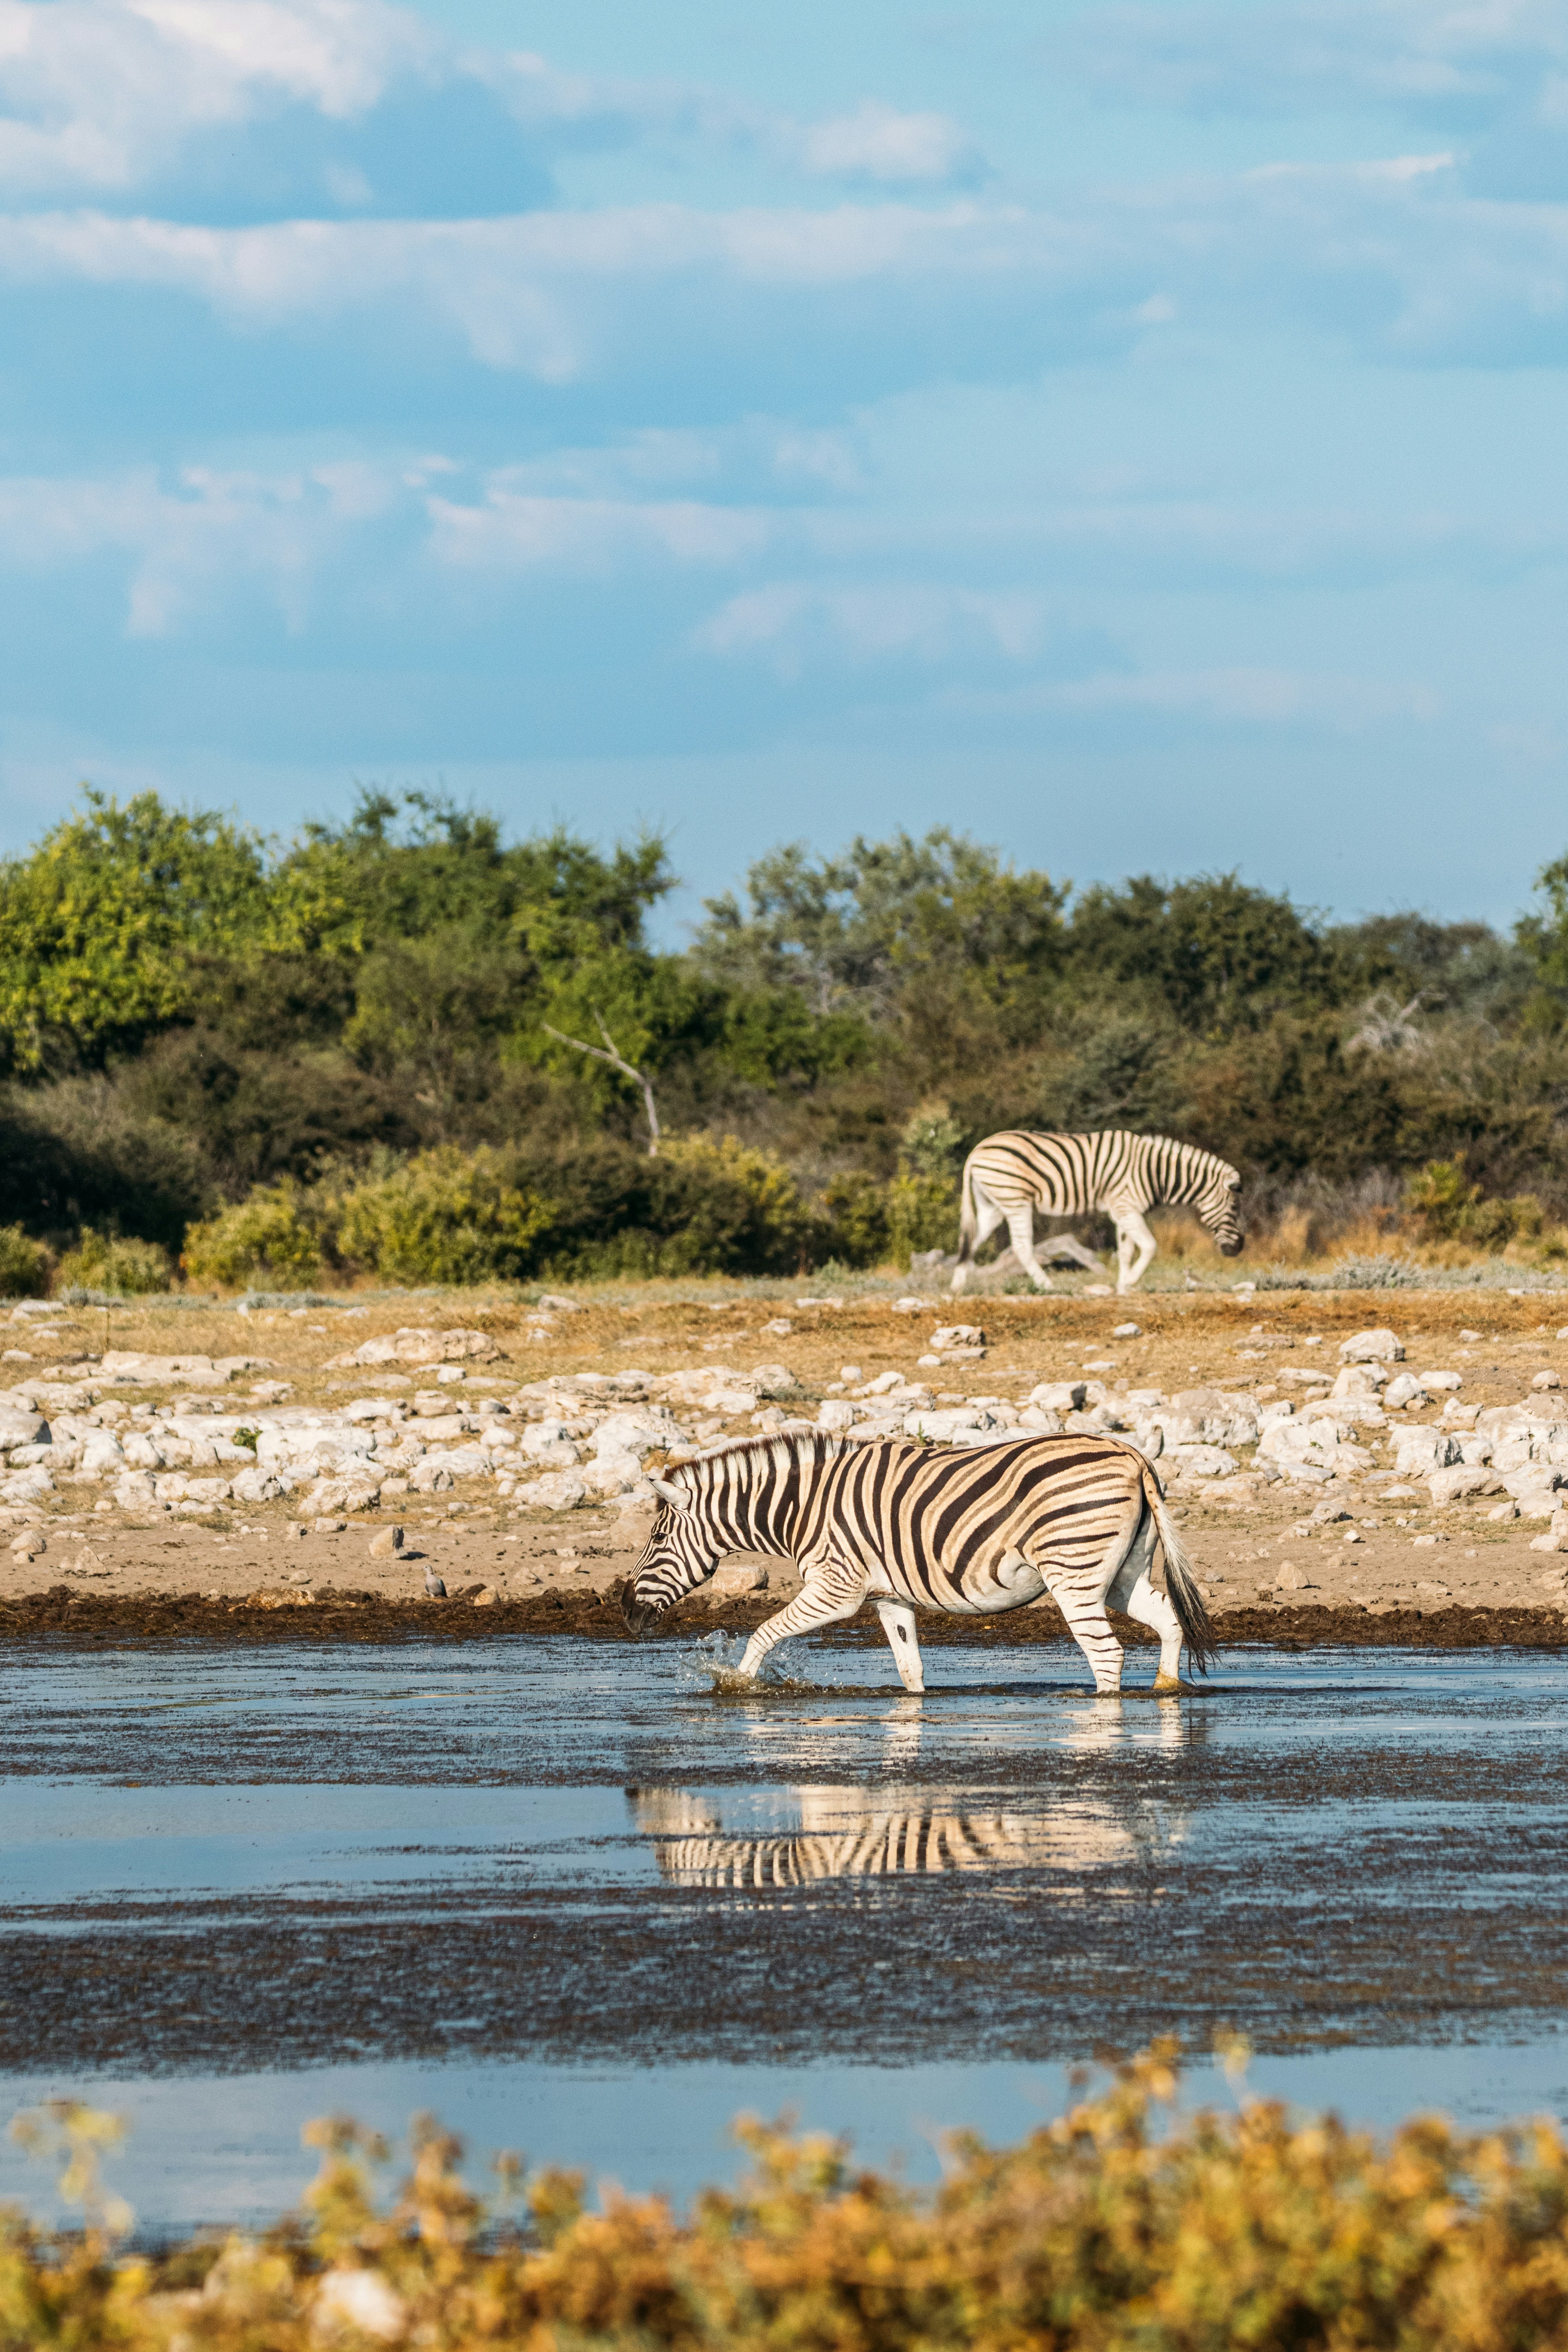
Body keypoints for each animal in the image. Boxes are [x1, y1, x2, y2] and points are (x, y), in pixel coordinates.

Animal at [623, 1427, 1214, 1695]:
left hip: (1074, 1574)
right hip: (1118, 1575)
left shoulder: (837, 1589)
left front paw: (739, 1689)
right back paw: (1167, 1693)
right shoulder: (889, 1597)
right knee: (1169, 1622)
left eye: (657, 1538)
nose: (626, 1613)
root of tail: (1133, 1454)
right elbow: (911, 1668)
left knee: (1107, 1655)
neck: (802, 1509)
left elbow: (765, 1634)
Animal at [952, 1128, 1243, 1295]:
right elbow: (1150, 1246)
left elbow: (1126, 1251)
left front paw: (1123, 1287)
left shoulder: (1122, 1210)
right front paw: (1131, 1282)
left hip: (992, 1205)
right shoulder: (1127, 1207)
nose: (1239, 1249)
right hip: (1015, 1199)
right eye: (1234, 1207)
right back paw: (1047, 1286)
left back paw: (957, 1286)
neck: (1155, 1172)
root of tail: (976, 1150)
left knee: (970, 1240)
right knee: (1022, 1246)